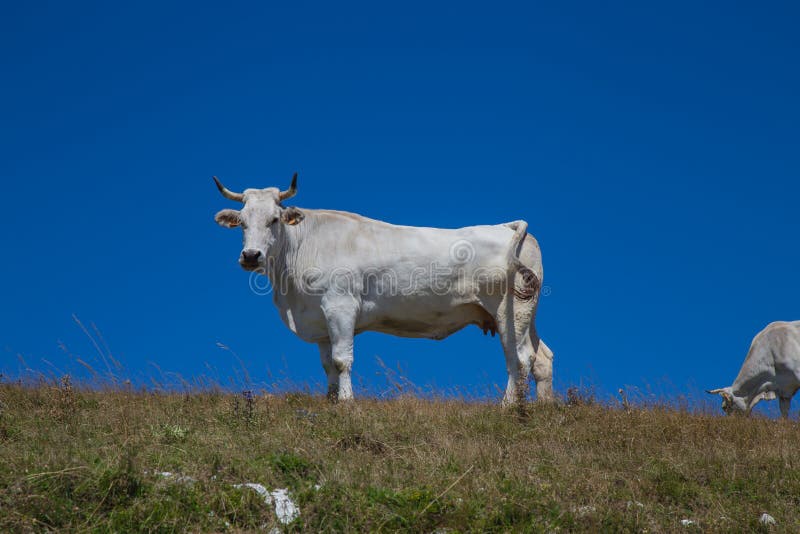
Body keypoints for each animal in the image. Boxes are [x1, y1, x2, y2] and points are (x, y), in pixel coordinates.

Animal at [213, 173, 554, 405]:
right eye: (242, 222)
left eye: (274, 219)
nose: (251, 255)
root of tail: (506, 226)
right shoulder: (320, 320)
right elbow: (327, 365)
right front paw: (331, 401)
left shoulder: (340, 306)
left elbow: (342, 359)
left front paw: (347, 403)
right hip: (526, 312)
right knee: (542, 358)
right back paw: (543, 408)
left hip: (509, 310)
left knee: (519, 358)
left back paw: (508, 407)